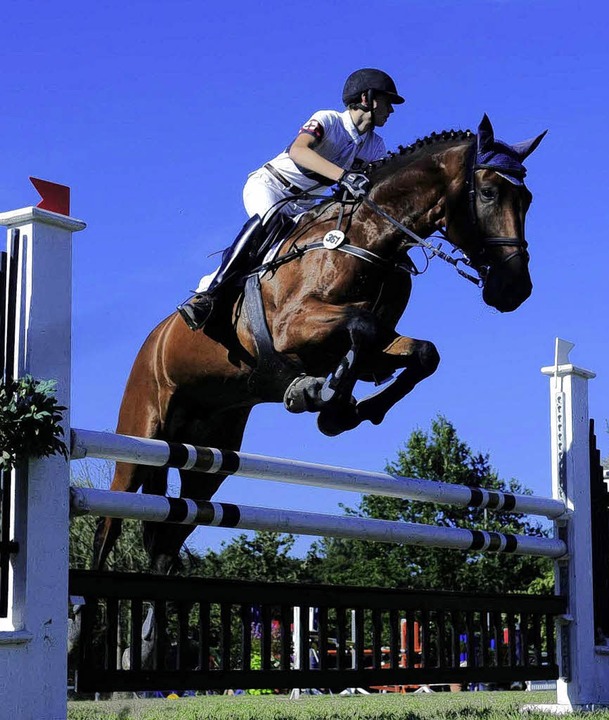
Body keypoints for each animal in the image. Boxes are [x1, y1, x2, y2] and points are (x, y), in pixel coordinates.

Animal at [92, 114, 546, 575]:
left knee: (168, 537)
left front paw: (347, 409)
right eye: (488, 192)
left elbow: (421, 353)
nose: (515, 290)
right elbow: (362, 328)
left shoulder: (376, 340)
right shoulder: (292, 327)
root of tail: (152, 341)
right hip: (142, 434)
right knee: (109, 524)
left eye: (526, 198)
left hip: (208, 457)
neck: (368, 236)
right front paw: (323, 398)